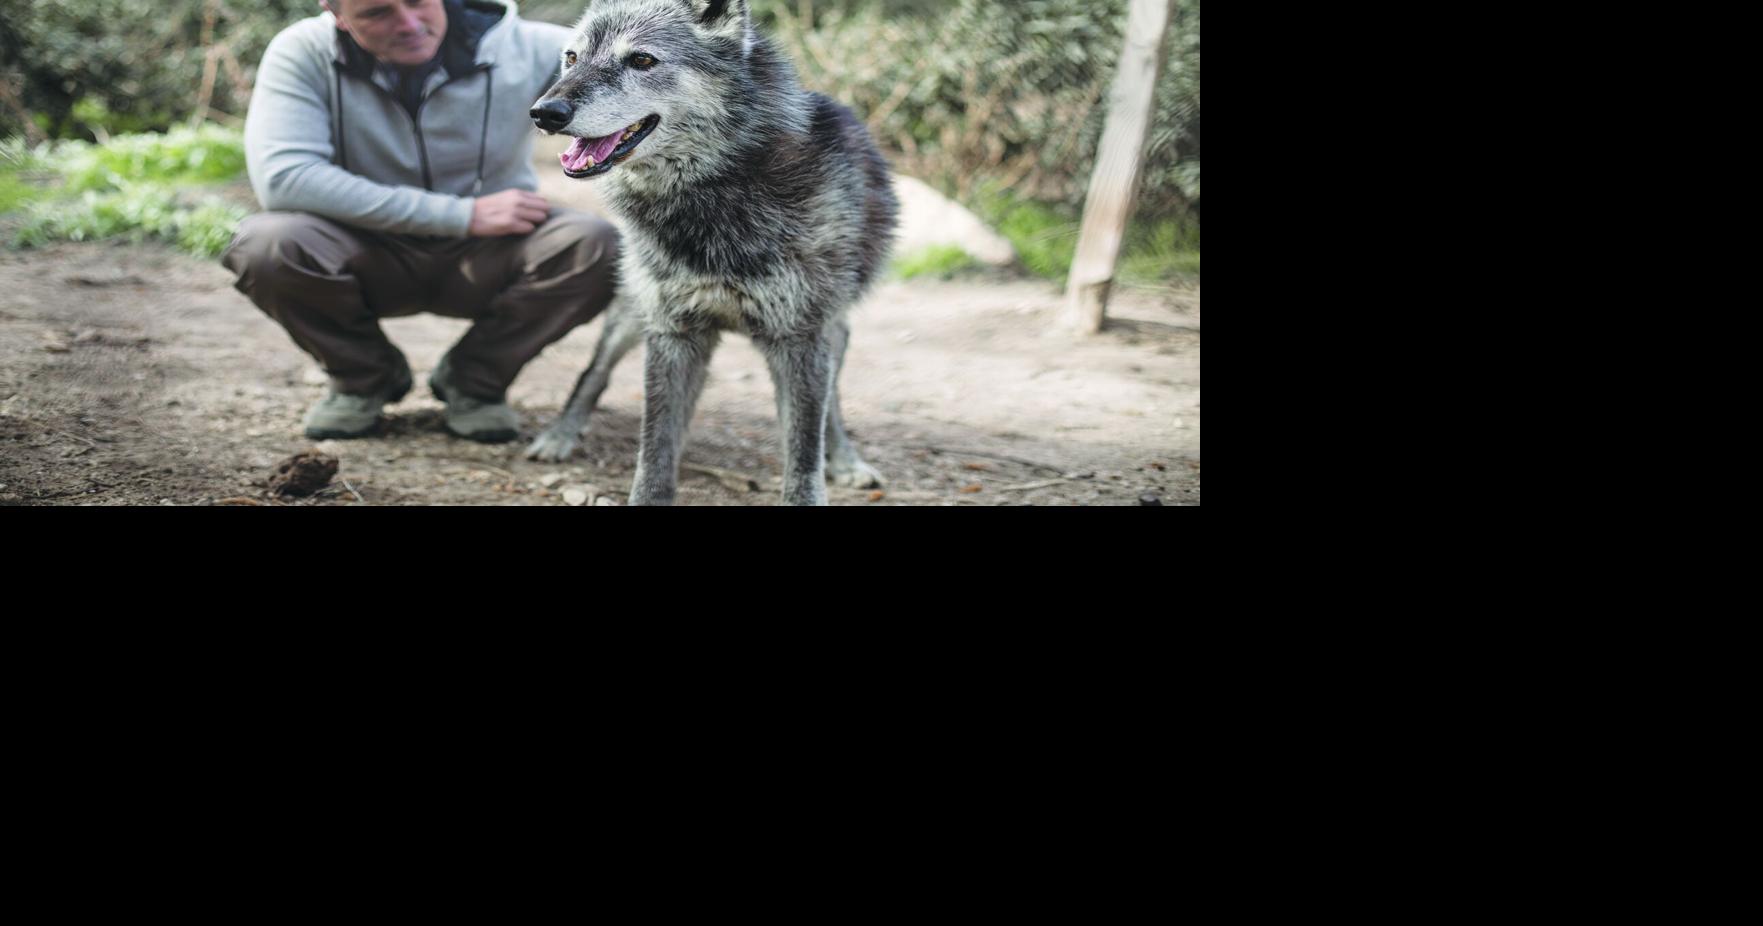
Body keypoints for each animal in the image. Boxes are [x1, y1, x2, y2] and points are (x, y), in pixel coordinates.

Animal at [523, 0, 898, 506]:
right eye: (571, 58)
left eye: (642, 60)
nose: (545, 112)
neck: (718, 192)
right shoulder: (673, 333)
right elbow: (655, 448)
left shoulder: (801, 337)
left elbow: (804, 447)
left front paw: (822, 467)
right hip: (631, 314)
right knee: (593, 372)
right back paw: (559, 435)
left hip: (830, 330)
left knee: (831, 401)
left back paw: (845, 459)